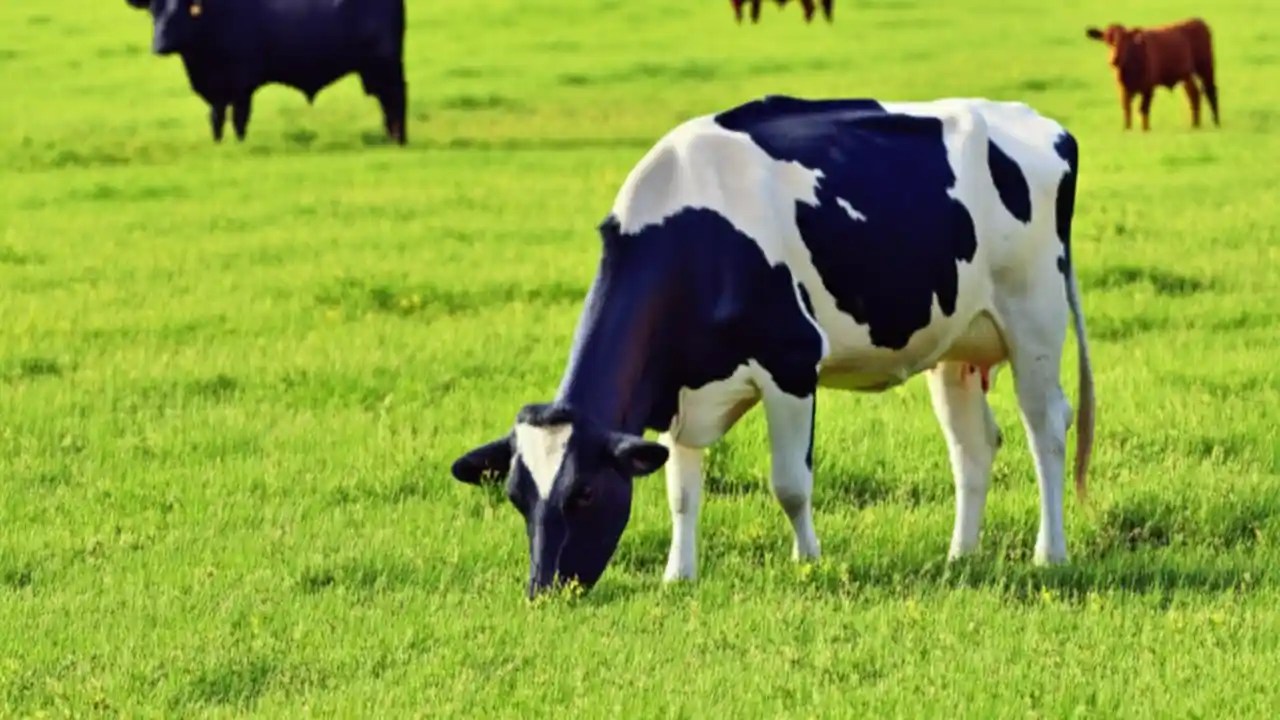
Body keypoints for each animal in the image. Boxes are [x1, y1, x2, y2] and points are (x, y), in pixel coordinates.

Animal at [125, 0, 407, 144]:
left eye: (182, 11)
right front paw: (218, 144)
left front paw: (240, 146)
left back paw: (399, 140)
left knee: (396, 100)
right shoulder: (216, 90)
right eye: (153, 11)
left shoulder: (242, 85)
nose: (159, 46)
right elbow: (216, 119)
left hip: (386, 66)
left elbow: (239, 119)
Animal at [451, 95, 1096, 599]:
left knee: (1046, 428)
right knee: (973, 446)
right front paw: (678, 575)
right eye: (516, 495)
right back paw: (960, 555)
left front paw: (808, 560)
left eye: (583, 493)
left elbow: (789, 482)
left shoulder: (791, 362)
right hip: (956, 345)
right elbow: (680, 491)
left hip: (1035, 317)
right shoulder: (680, 387)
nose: (544, 589)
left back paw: (1050, 552)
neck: (693, 233)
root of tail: (1040, 123)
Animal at [1085, 18, 1219, 131]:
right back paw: (1195, 125)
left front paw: (1146, 130)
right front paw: (1127, 130)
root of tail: (1198, 21)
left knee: (1211, 91)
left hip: (1206, 68)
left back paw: (1216, 122)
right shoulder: (1124, 89)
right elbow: (1127, 109)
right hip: (1187, 75)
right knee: (1194, 95)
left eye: (1125, 41)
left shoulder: (1148, 87)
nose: (1114, 60)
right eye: (1106, 40)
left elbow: (1143, 109)